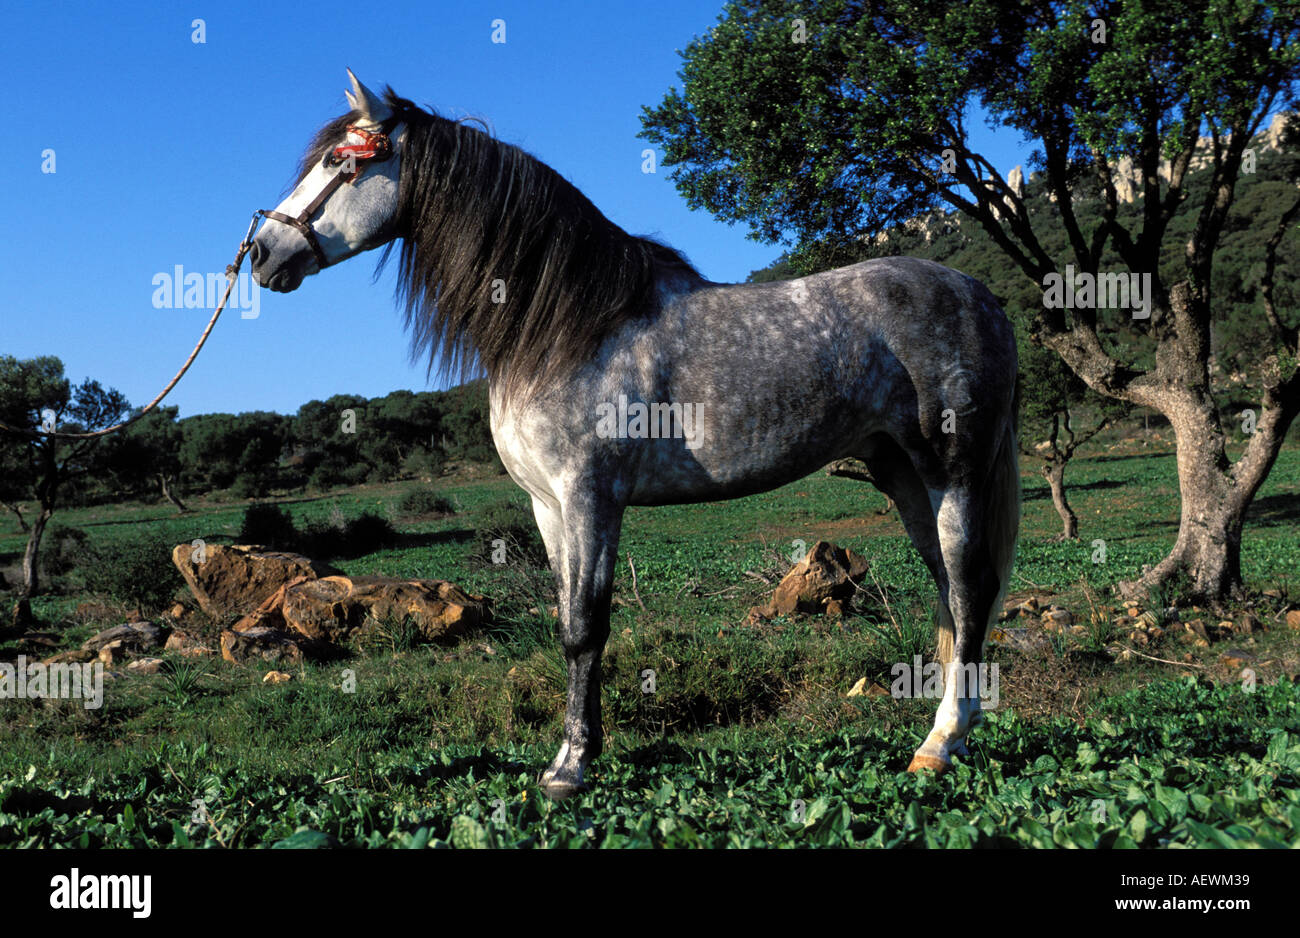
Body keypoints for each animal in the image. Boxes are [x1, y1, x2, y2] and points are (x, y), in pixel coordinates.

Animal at [249, 71, 1021, 800]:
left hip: (952, 475)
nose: (261, 252)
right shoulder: (548, 508)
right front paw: (576, 753)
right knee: (949, 595)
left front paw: (570, 770)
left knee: (968, 590)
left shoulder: (592, 497)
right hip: (902, 476)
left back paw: (940, 744)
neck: (568, 326)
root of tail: (983, 297)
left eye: (342, 164)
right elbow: (568, 623)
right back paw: (942, 735)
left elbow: (585, 627)